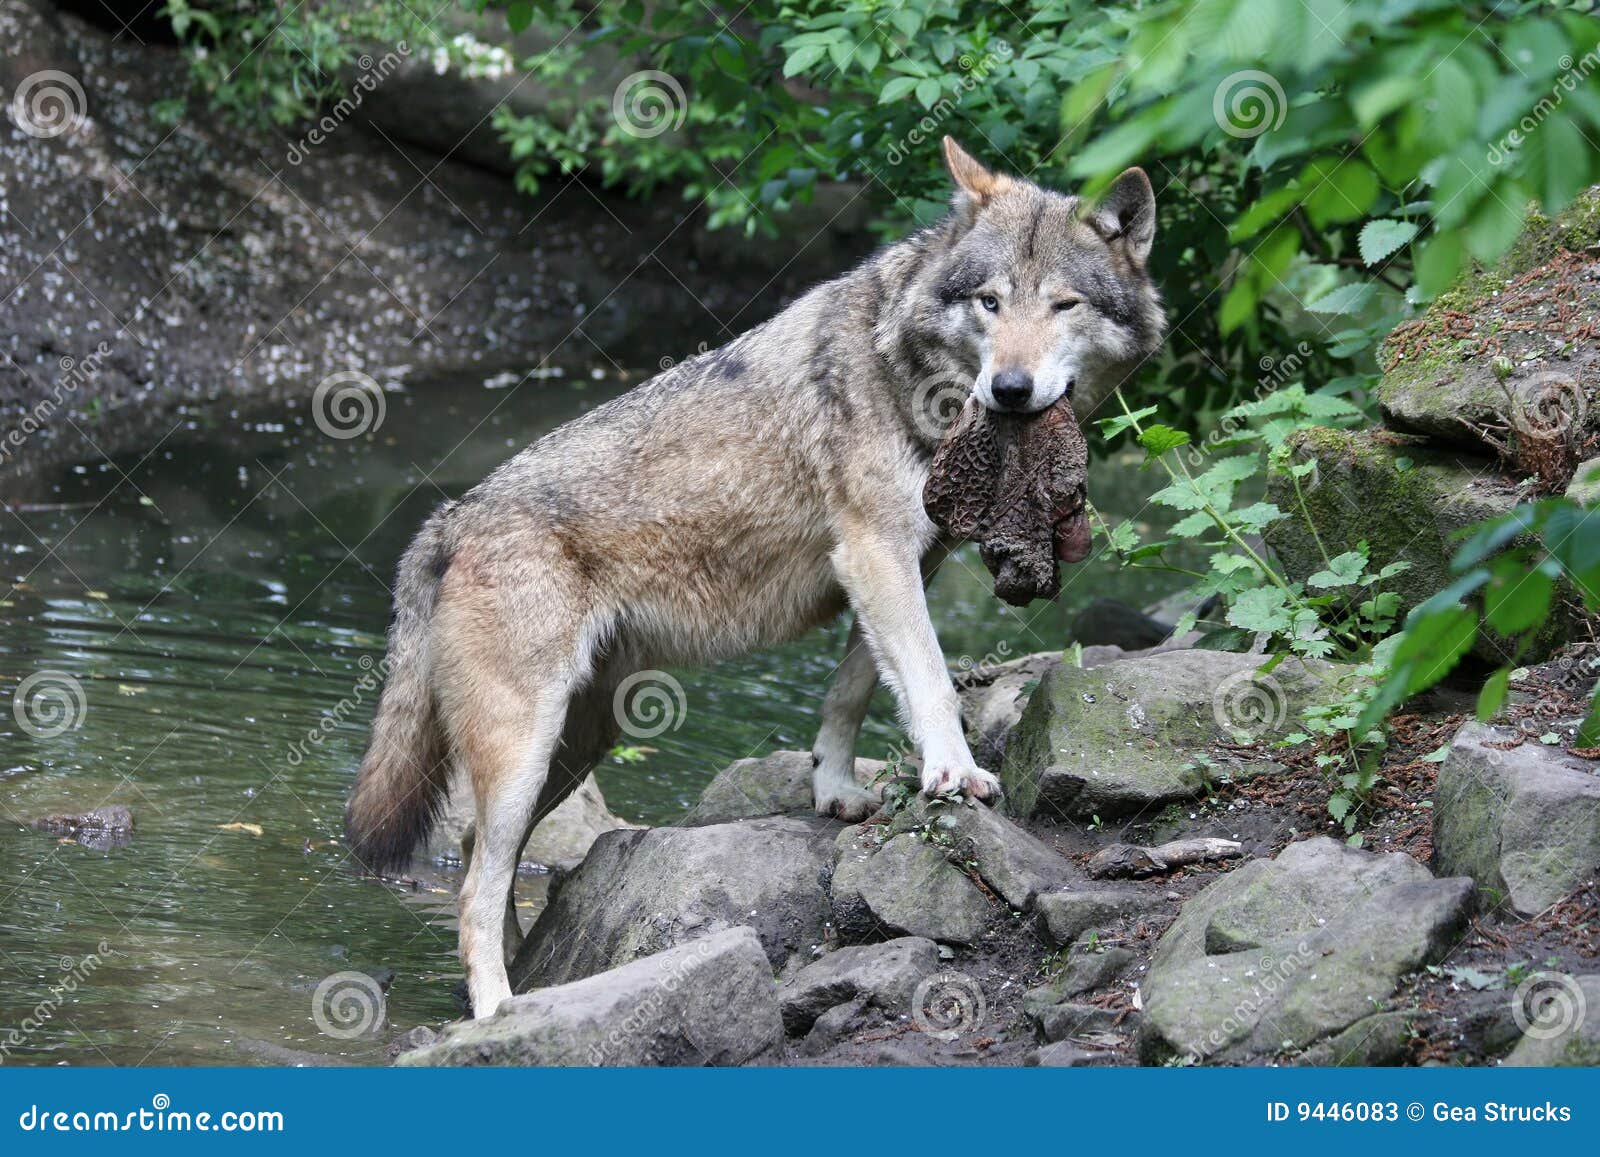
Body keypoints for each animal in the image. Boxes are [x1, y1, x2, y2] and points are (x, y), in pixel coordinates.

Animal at [345, 138, 1165, 1018]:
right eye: (990, 302)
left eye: (1064, 305)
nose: (1010, 389)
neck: (908, 368)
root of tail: (447, 519)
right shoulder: (877, 553)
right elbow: (933, 680)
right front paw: (953, 772)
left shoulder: (901, 563)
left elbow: (852, 690)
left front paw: (834, 787)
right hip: (525, 747)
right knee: (473, 886)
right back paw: (499, 1010)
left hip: (571, 747)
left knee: (474, 856)